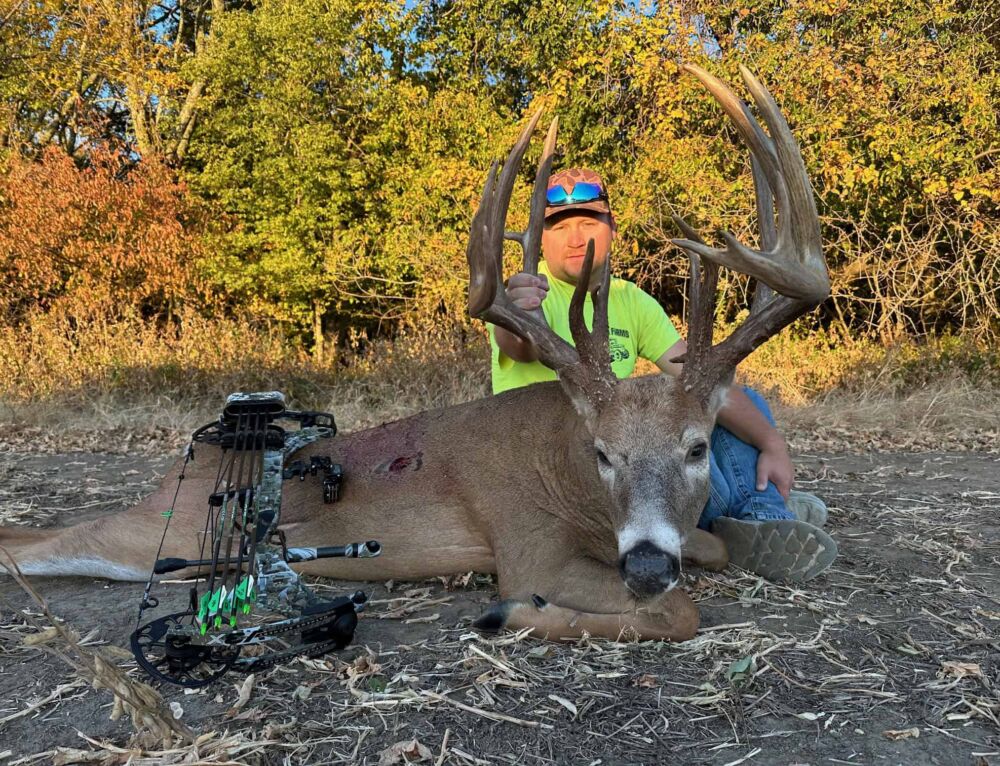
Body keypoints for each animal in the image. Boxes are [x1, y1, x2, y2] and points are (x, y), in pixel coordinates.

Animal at [0, 65, 829, 642]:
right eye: (603, 452)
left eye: (697, 447)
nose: (648, 561)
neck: (569, 475)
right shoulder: (525, 543)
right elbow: (680, 611)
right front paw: (515, 613)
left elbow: (712, 548)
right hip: (154, 532)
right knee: (40, 541)